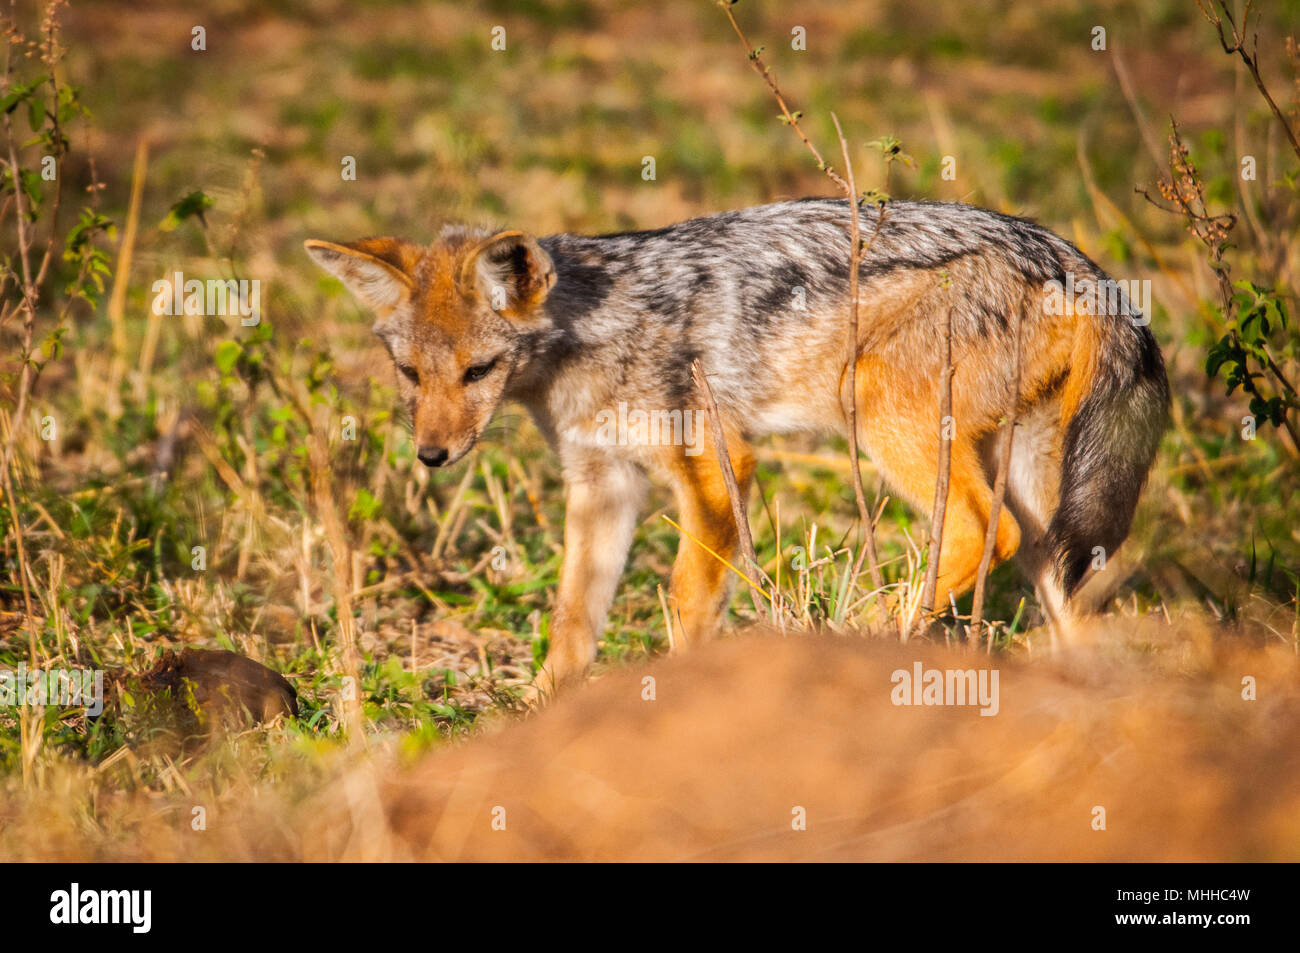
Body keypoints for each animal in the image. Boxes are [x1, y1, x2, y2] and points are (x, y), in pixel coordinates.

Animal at [305, 197, 1169, 694]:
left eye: (478, 370)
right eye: (411, 373)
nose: (432, 455)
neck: (595, 330)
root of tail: (1071, 259)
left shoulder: (718, 466)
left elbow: (688, 601)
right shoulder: (603, 480)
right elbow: (573, 619)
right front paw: (541, 715)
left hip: (888, 422)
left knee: (976, 532)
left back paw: (862, 637)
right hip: (1038, 497)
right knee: (1058, 588)